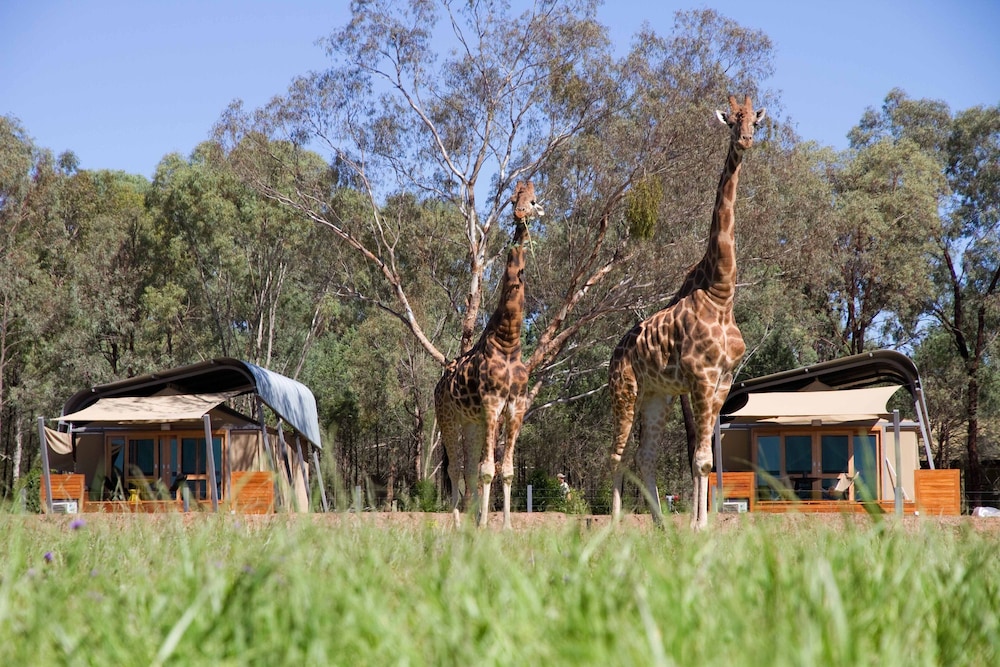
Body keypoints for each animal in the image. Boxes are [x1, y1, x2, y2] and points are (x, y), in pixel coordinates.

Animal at [432, 181, 544, 528]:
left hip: (472, 423)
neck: (508, 342)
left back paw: (467, 521)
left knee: (466, 468)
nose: (520, 214)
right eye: (513, 197)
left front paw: (504, 525)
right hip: (447, 416)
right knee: (455, 468)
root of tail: (438, 384)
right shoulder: (493, 404)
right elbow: (486, 471)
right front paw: (483, 525)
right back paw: (458, 523)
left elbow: (505, 471)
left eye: (533, 200)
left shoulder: (515, 407)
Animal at [608, 95, 764, 532]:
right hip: (624, 391)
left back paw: (661, 525)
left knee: (644, 457)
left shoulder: (722, 382)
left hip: (655, 398)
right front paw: (697, 526)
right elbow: (699, 458)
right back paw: (614, 524)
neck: (721, 292)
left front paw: (700, 525)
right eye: (731, 120)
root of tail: (614, 354)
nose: (745, 140)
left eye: (756, 120)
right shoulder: (701, 379)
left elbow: (705, 459)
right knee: (617, 455)